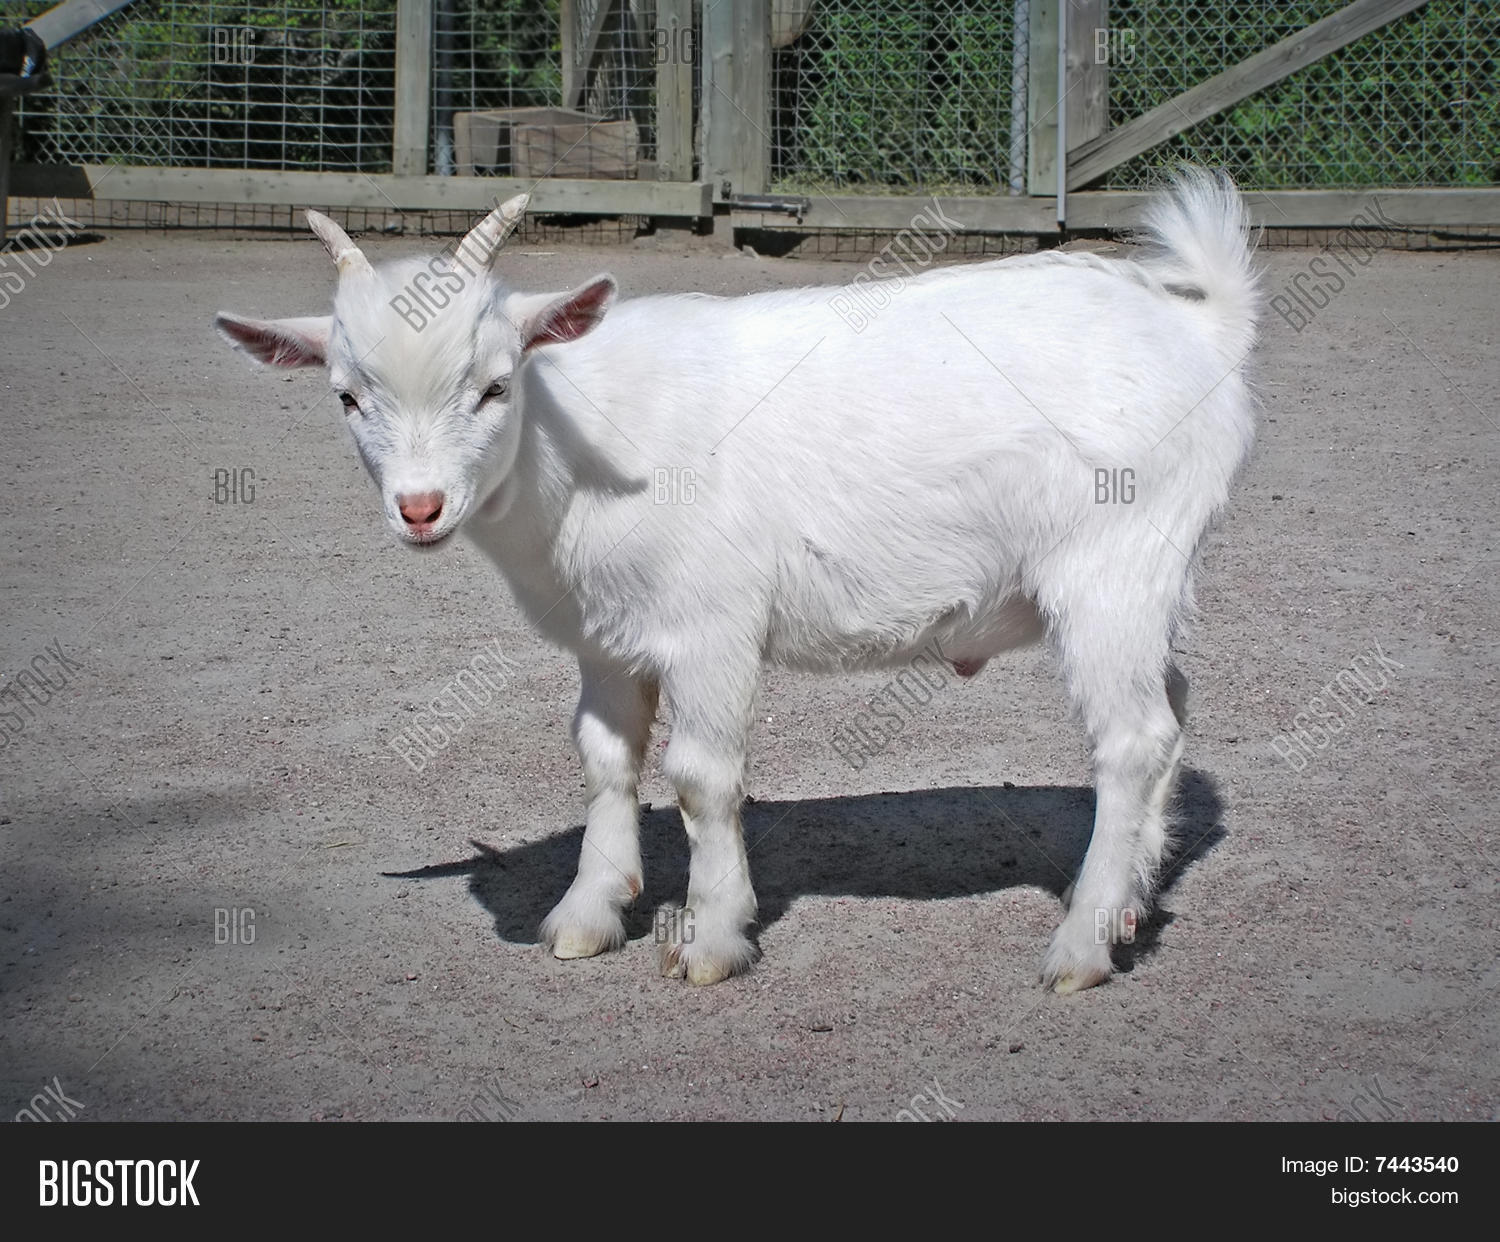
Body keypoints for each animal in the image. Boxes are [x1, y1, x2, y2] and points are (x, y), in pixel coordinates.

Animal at [215, 168, 1260, 992]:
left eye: (496, 385)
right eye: (348, 396)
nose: (421, 507)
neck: (579, 443)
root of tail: (1201, 327)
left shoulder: (709, 626)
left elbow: (701, 778)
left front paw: (712, 937)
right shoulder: (606, 638)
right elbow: (604, 761)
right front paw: (587, 914)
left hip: (1110, 566)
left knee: (1131, 740)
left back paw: (1080, 946)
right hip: (1146, 582)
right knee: (1172, 709)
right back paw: (1129, 903)